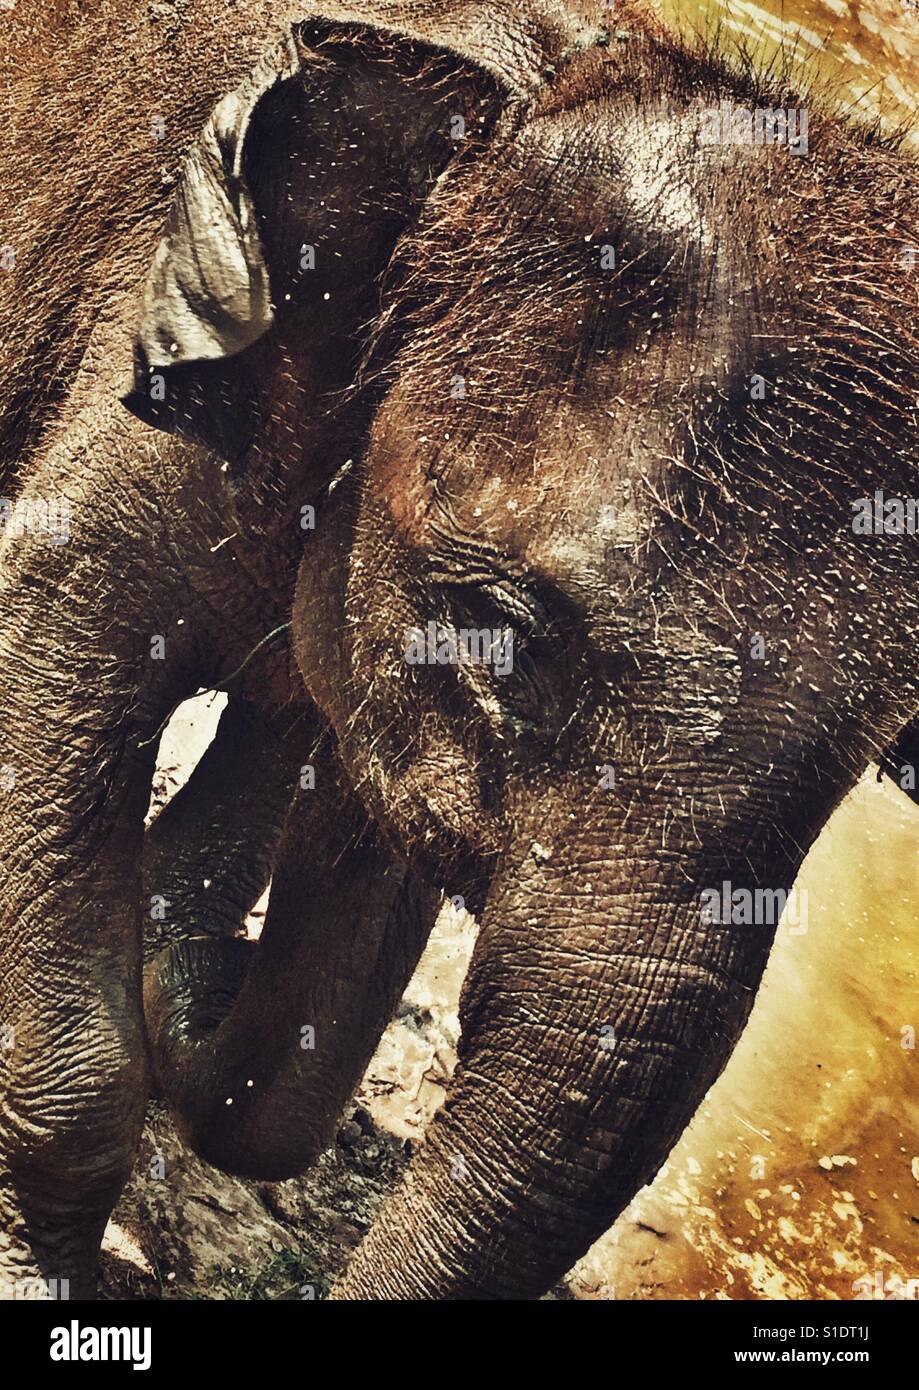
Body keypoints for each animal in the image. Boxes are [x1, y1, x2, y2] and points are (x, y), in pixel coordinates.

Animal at [0, 0, 916, 1300]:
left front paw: (186, 972)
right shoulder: (161, 371)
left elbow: (350, 887)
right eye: (504, 637)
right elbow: (54, 651)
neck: (544, 86)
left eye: (877, 749)